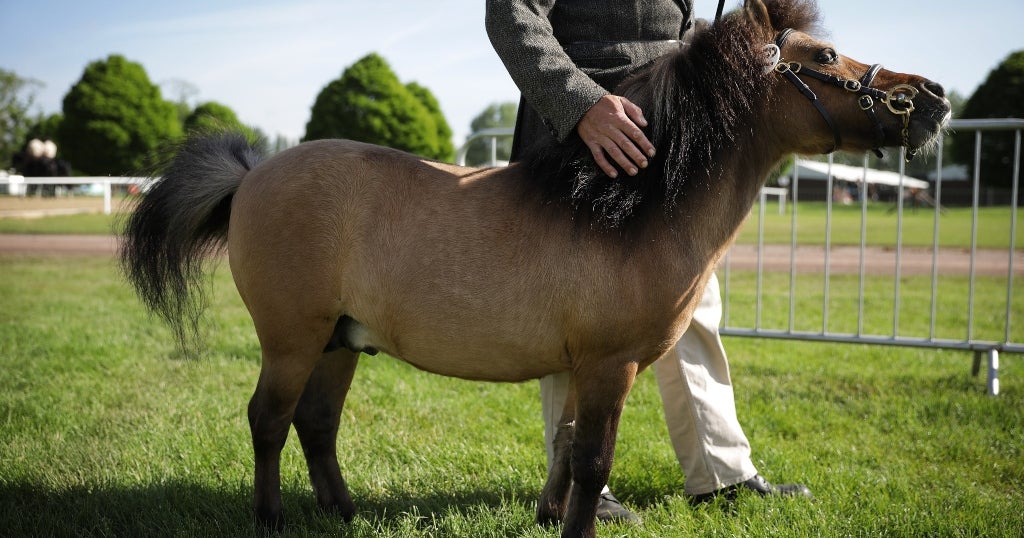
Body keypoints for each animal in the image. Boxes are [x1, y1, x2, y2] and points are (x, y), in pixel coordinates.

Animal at [120, 1, 950, 536]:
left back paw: (343, 512)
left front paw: (552, 517)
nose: (934, 95)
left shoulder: (589, 366)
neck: (626, 206)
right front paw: (576, 525)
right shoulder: (611, 364)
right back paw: (270, 519)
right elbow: (591, 457)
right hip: (292, 338)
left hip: (338, 341)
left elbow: (570, 447)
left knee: (316, 424)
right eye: (822, 58)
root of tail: (253, 174)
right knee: (268, 420)